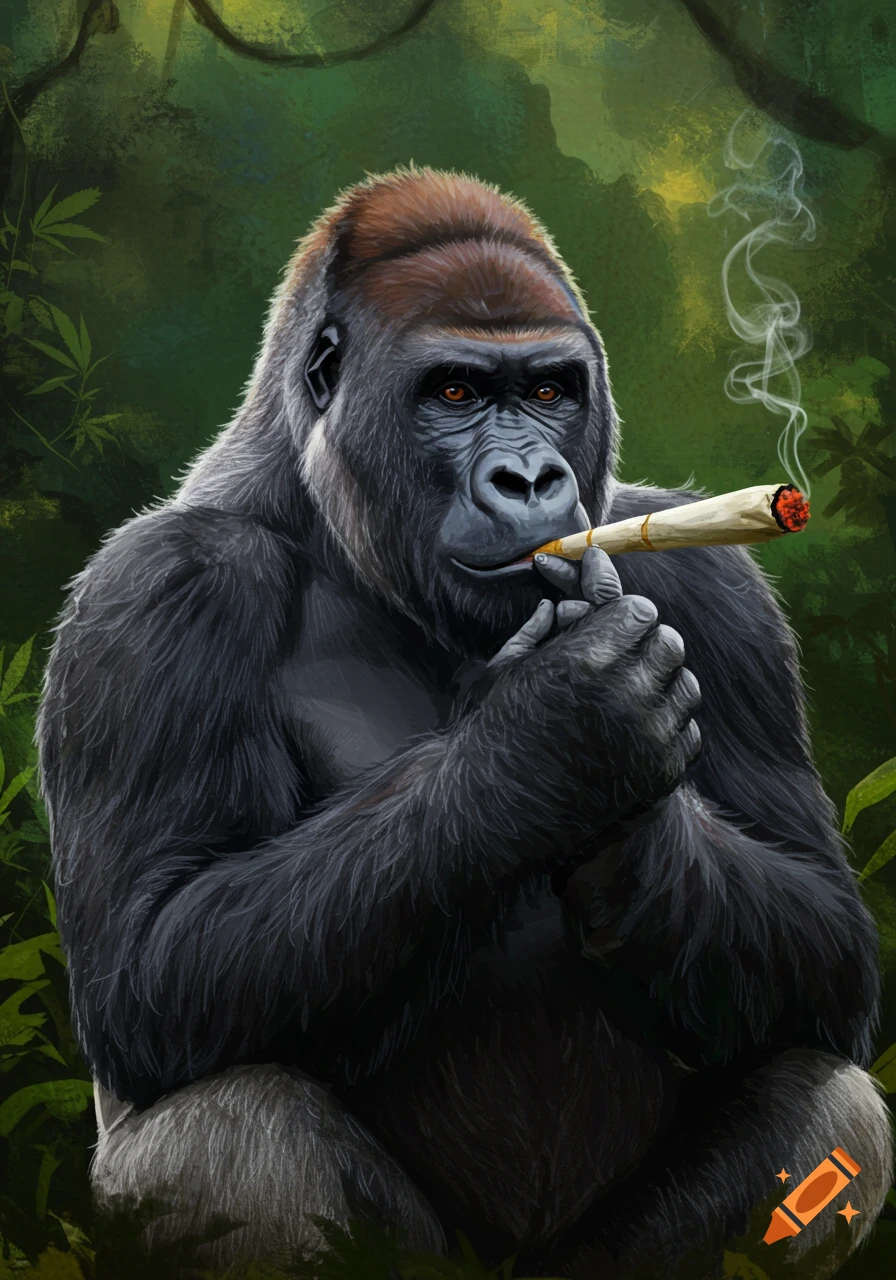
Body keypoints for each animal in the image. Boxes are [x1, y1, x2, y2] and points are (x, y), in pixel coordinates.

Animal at [37, 167, 892, 1277]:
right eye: (453, 393)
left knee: (824, 1102)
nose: (529, 479)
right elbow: (153, 959)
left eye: (547, 391)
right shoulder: (160, 590)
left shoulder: (724, 592)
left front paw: (621, 814)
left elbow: (827, 945)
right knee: (225, 1133)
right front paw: (561, 738)